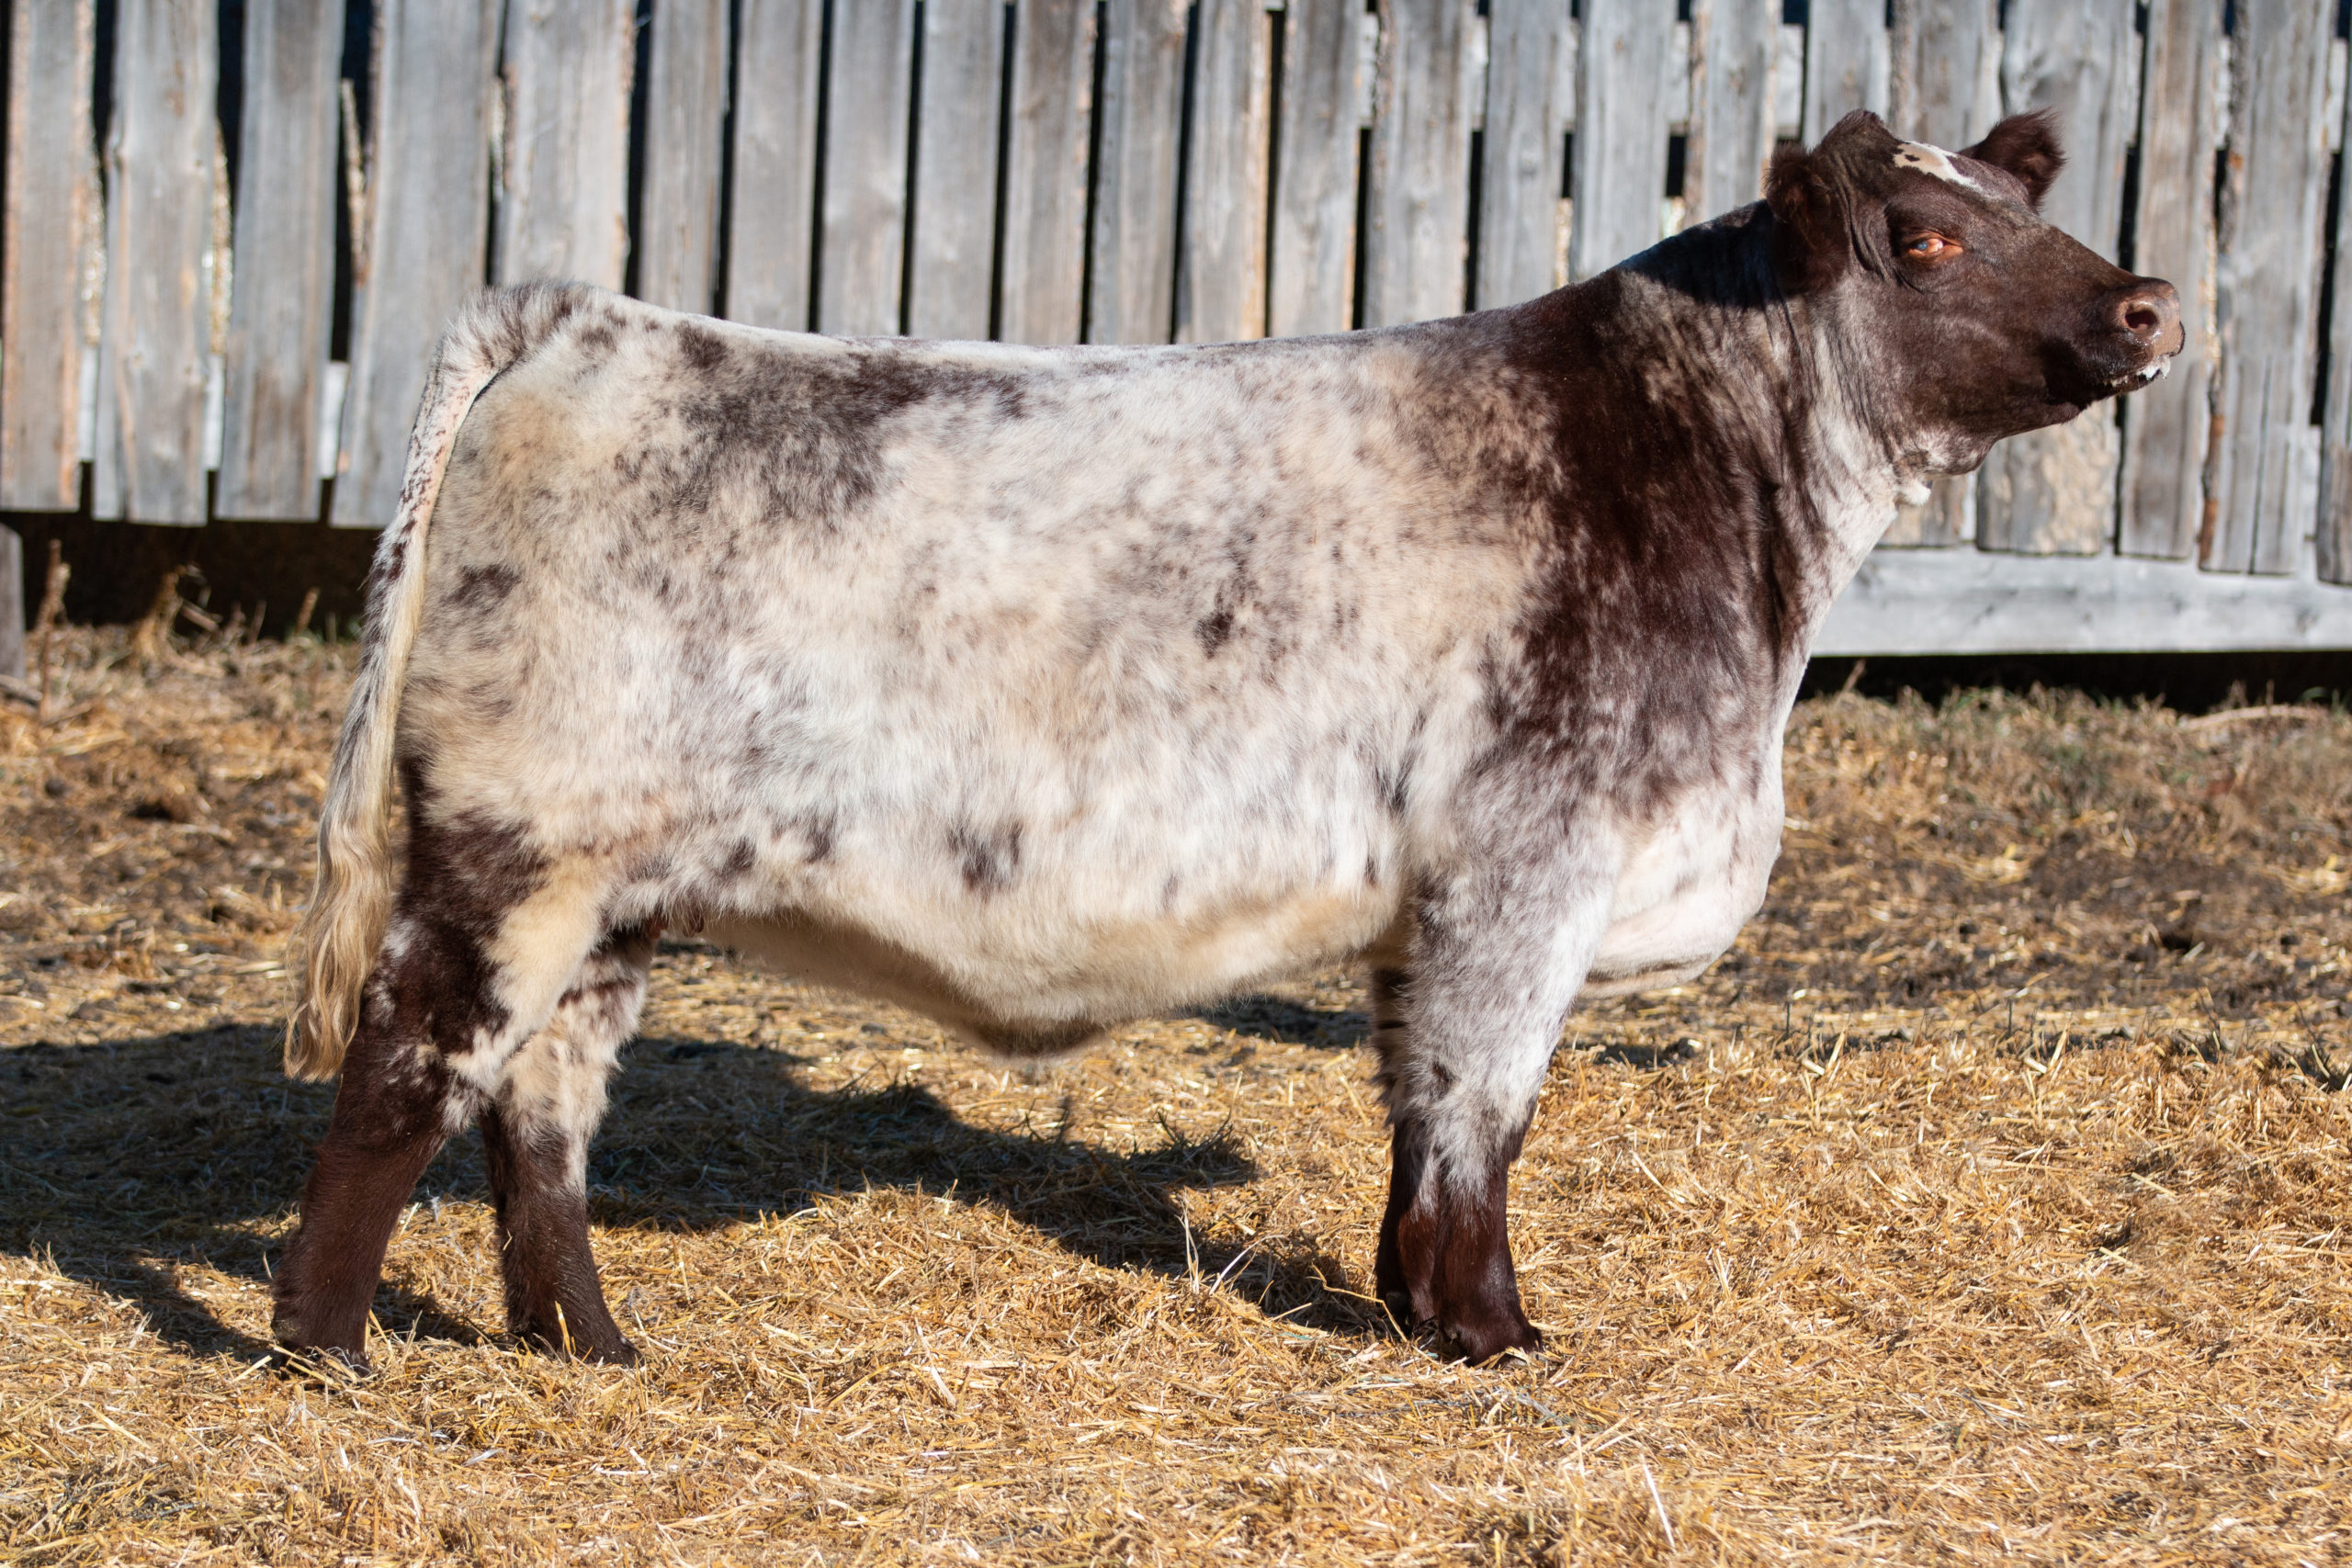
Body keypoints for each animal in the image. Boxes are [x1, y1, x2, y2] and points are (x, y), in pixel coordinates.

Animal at [270, 109, 2179, 1371]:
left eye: (2031, 205)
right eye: (1923, 237)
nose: (2150, 303)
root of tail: (598, 321)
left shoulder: (1432, 903)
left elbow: (1416, 1104)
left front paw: (1413, 1306)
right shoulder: (1529, 867)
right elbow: (1485, 1109)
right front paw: (1498, 1334)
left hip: (606, 895)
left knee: (540, 1110)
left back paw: (588, 1339)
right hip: (511, 851)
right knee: (406, 1068)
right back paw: (324, 1345)